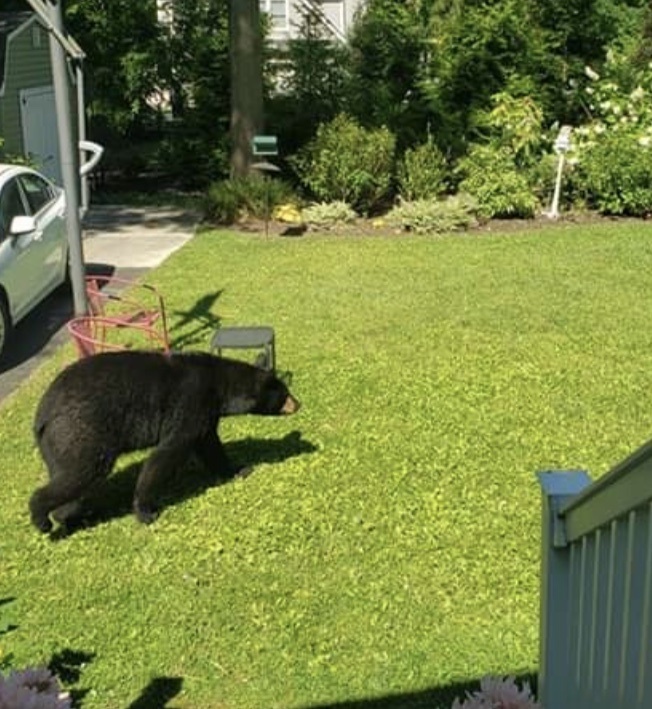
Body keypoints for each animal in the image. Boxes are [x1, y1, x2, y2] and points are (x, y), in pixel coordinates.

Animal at [29, 350, 300, 533]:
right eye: (285, 394)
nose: (298, 404)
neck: (219, 385)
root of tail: (42, 415)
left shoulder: (205, 415)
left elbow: (211, 447)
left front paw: (238, 469)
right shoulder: (190, 402)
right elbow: (168, 452)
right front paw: (145, 510)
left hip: (58, 443)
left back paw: (74, 515)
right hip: (81, 431)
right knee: (81, 472)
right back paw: (44, 519)